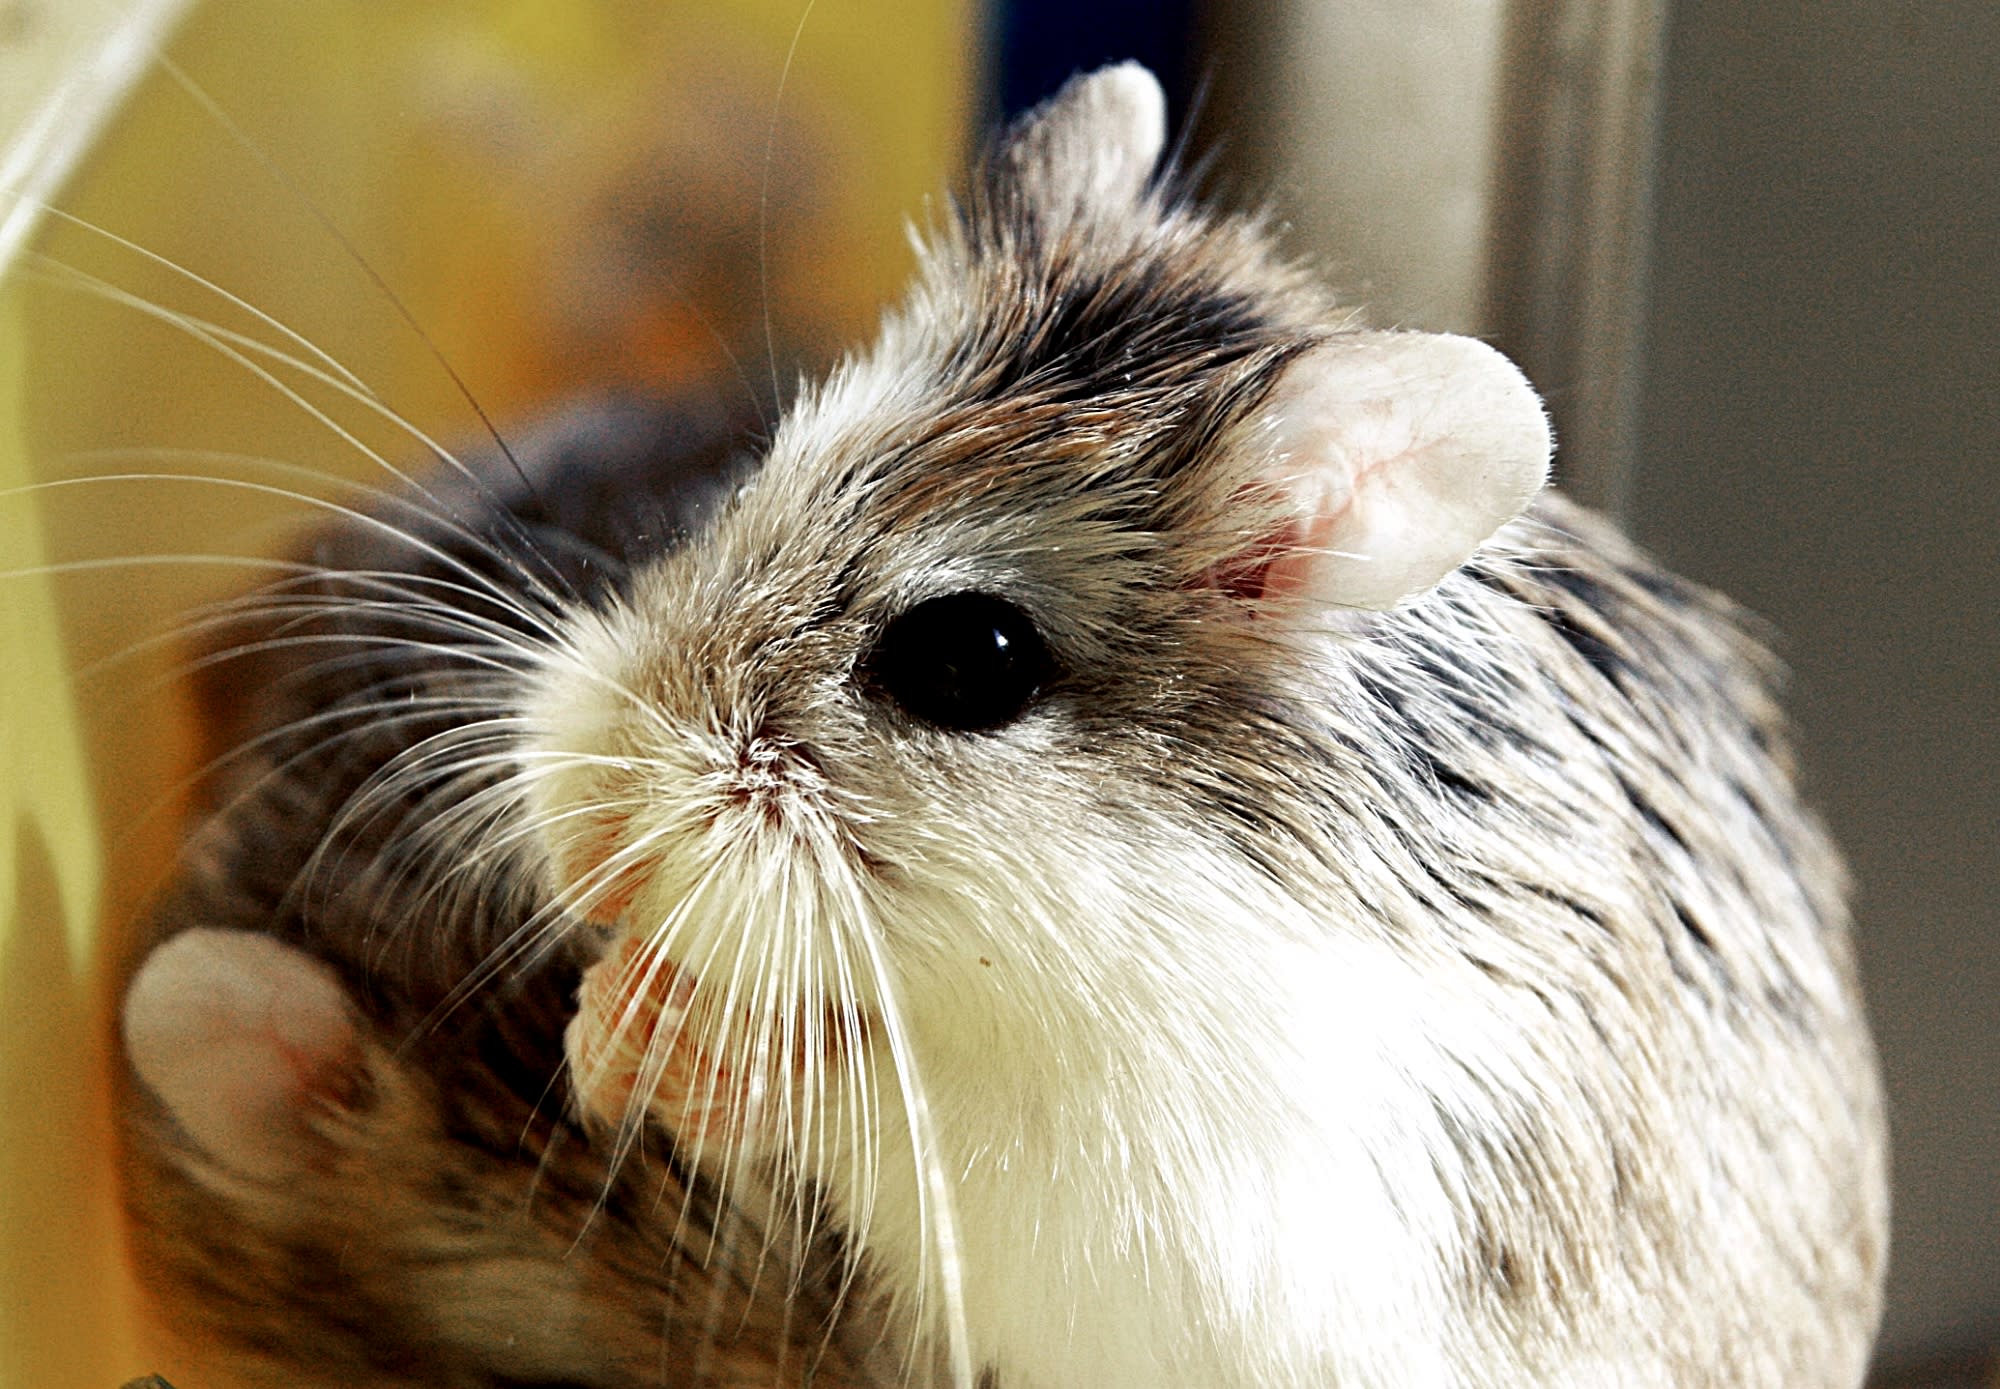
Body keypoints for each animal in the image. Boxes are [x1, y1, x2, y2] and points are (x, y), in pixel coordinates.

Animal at [119, 63, 1888, 1389]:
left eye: (966, 660)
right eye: (754, 465)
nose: (592, 838)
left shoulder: (1167, 1193)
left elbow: (891, 1122)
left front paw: (648, 1031)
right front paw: (616, 1009)